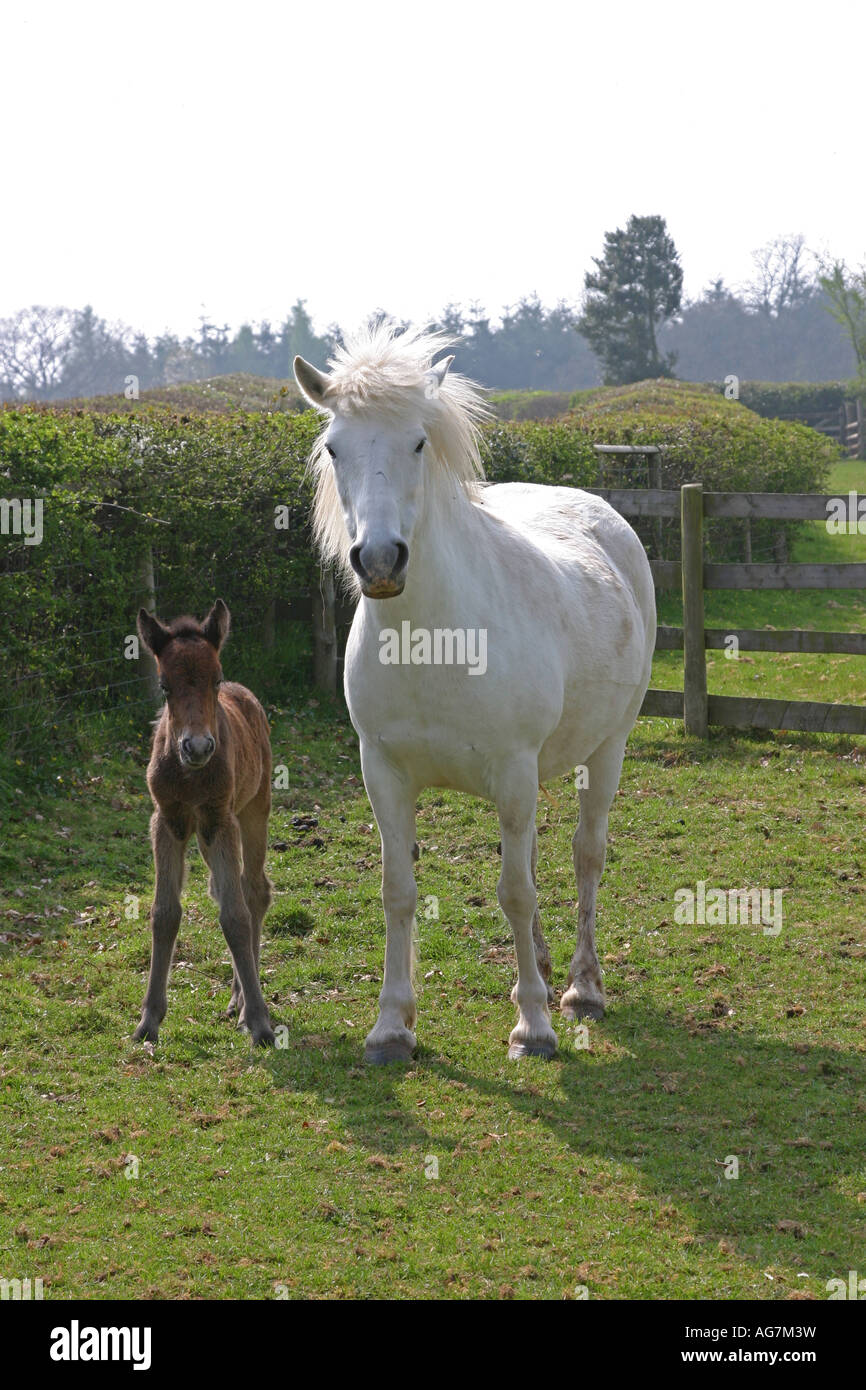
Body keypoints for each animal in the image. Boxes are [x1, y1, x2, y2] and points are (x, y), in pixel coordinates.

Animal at [133, 599, 276, 1047]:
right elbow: (164, 913)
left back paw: (243, 1002)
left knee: (254, 891)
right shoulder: (168, 821)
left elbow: (236, 916)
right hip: (204, 837)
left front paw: (260, 1021)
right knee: (225, 888)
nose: (196, 747)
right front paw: (149, 1019)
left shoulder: (221, 818)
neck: (191, 776)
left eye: (215, 679)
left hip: (254, 809)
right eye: (164, 686)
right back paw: (236, 997)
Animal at [294, 324, 655, 1063]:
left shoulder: (513, 773)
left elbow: (514, 892)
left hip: (607, 749)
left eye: (417, 443)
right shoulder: (384, 773)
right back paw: (541, 969)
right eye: (334, 446)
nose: (380, 561)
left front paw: (534, 1027)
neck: (432, 644)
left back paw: (581, 989)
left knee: (586, 854)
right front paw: (391, 1027)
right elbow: (398, 891)